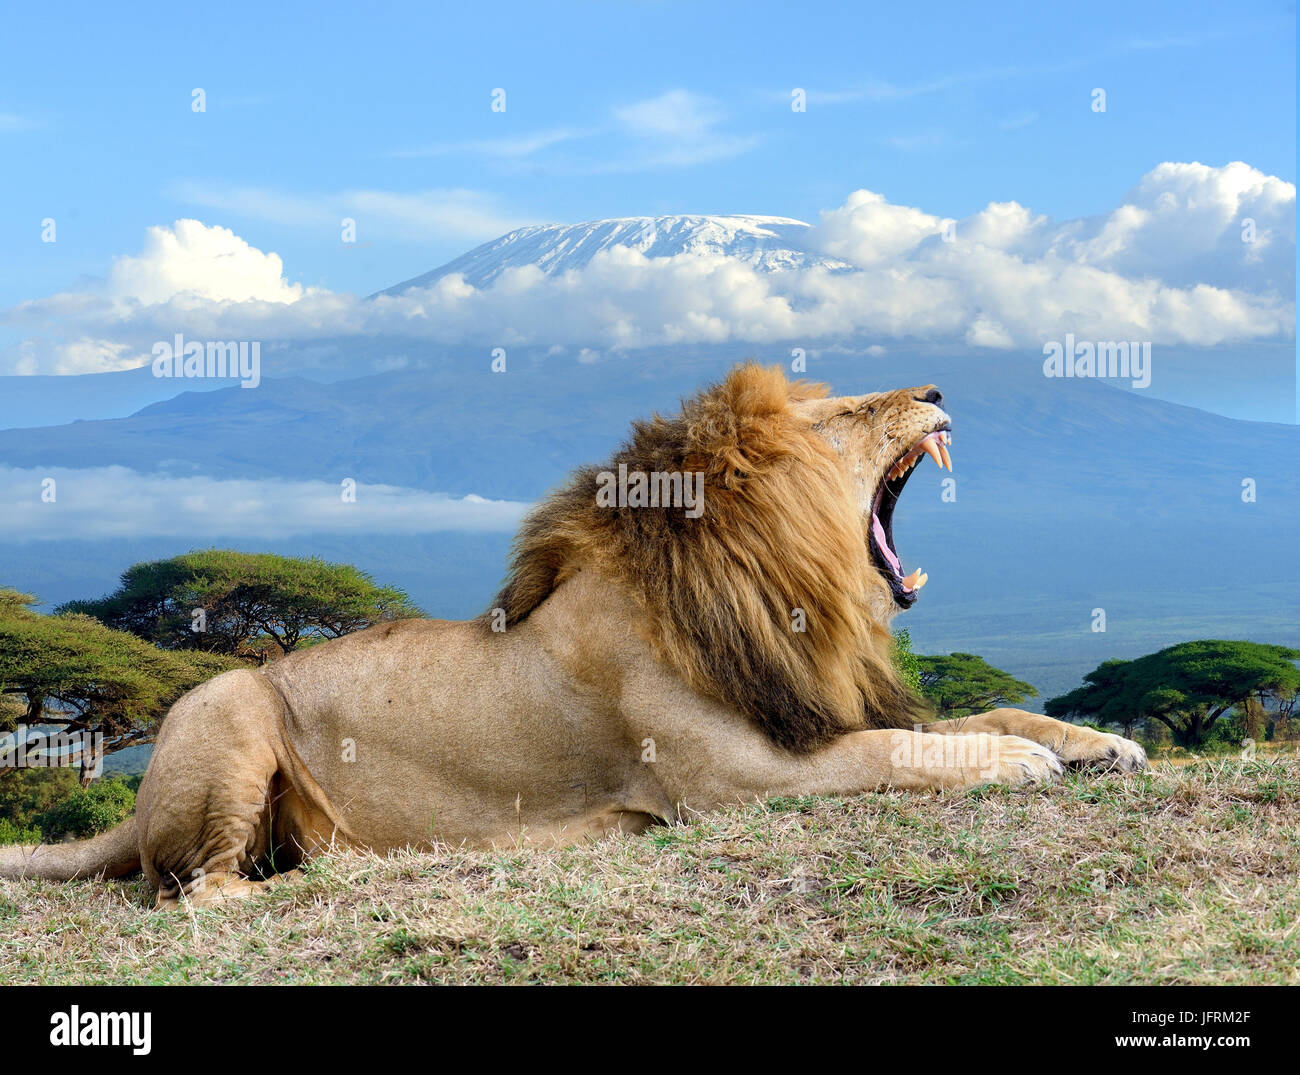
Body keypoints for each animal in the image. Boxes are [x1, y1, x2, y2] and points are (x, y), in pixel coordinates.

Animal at [0, 364, 1145, 906]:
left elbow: (984, 704)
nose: (938, 390)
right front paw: (1013, 761)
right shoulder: (734, 780)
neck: (778, 589)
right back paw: (349, 869)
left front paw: (1097, 741)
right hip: (230, 704)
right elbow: (895, 749)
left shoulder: (809, 707)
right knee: (198, 890)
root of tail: (136, 801)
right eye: (849, 415)